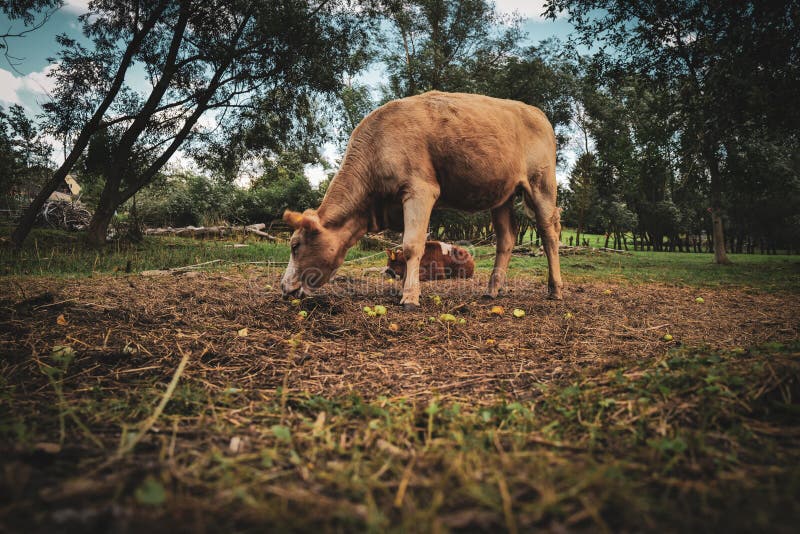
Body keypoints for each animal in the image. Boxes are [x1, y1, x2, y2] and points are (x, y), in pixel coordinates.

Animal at [281, 91, 563, 310]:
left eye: (295, 246)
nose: (284, 287)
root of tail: (534, 111)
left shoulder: (420, 190)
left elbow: (411, 245)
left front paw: (409, 297)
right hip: (502, 195)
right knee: (506, 239)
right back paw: (492, 290)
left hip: (542, 184)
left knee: (549, 233)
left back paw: (555, 289)